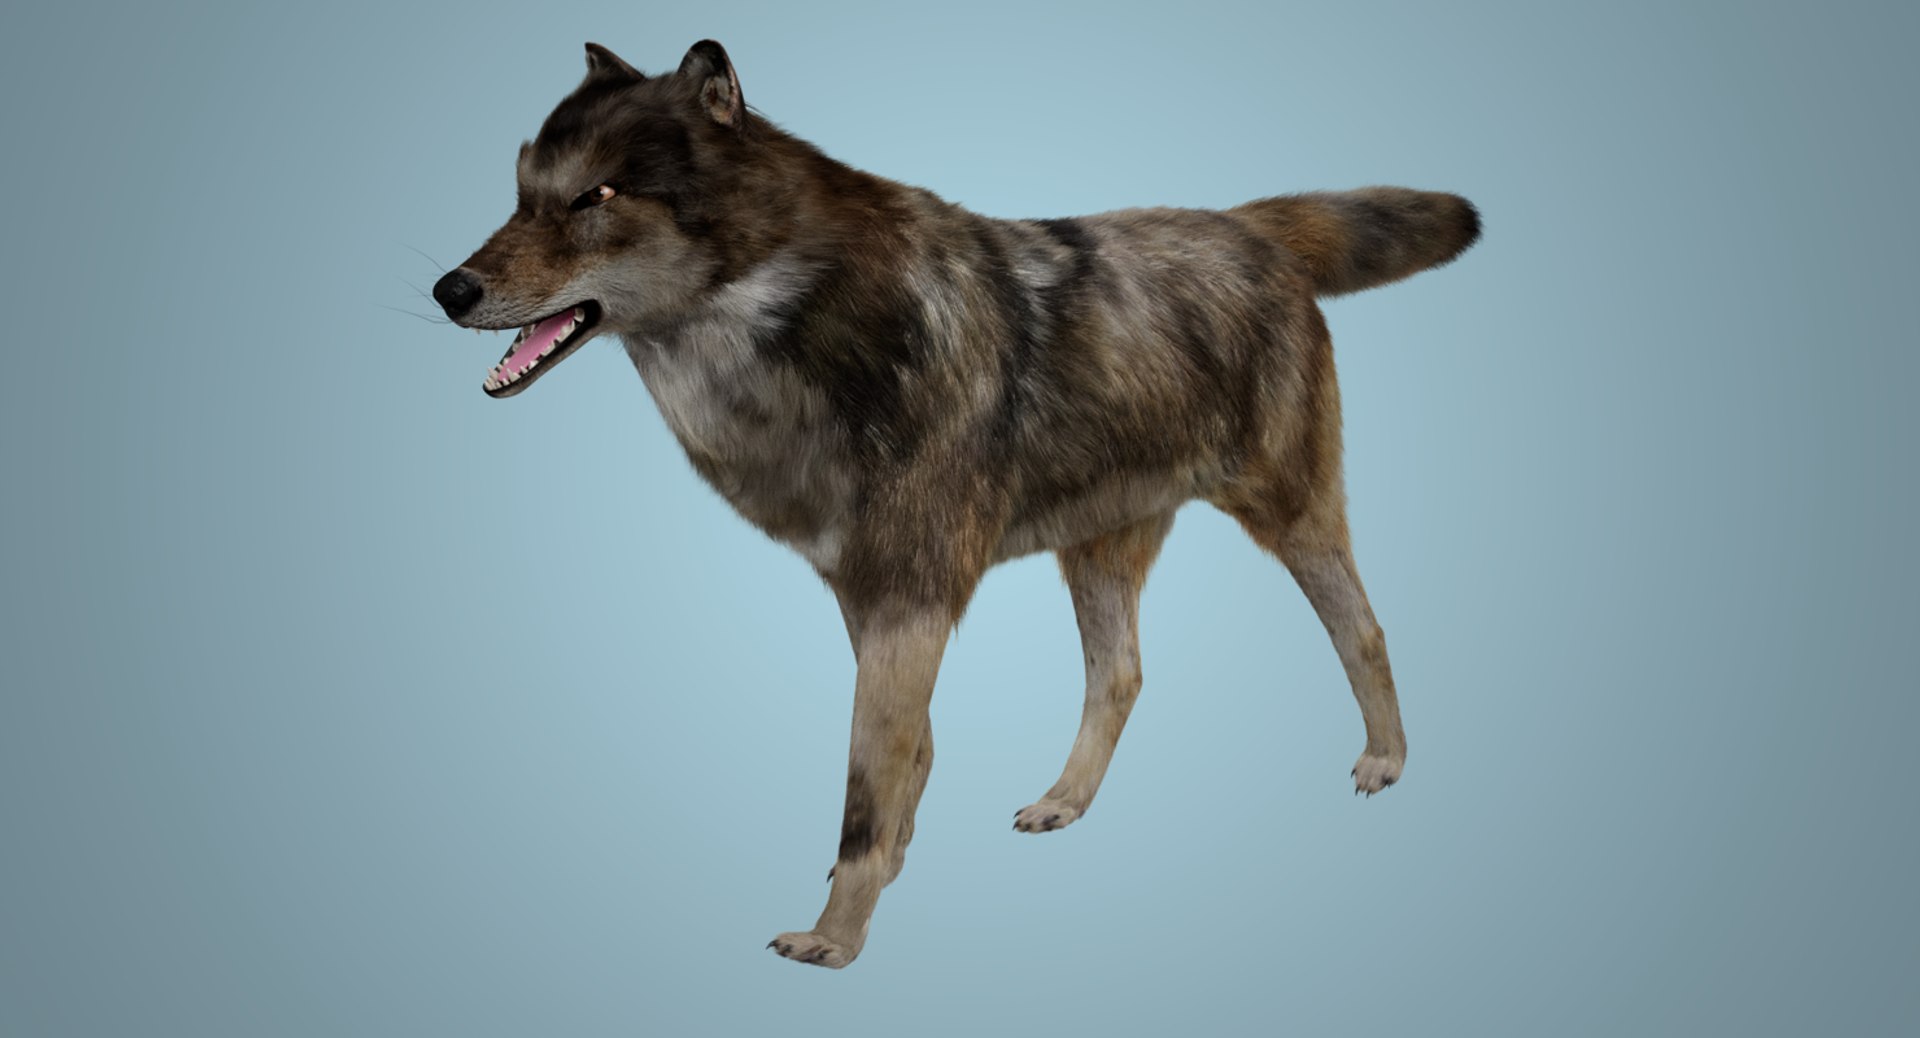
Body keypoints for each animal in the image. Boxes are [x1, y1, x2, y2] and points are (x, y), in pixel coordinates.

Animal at [432, 39, 1479, 968]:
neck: (803, 325)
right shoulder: (866, 595)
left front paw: (836, 939)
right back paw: (1064, 802)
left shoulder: (912, 597)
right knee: (1122, 675)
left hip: (1288, 516)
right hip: (1095, 553)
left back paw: (1385, 762)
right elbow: (913, 759)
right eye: (523, 194)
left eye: (596, 197)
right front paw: (887, 877)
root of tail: (1250, 224)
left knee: (1364, 632)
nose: (449, 289)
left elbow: (865, 788)